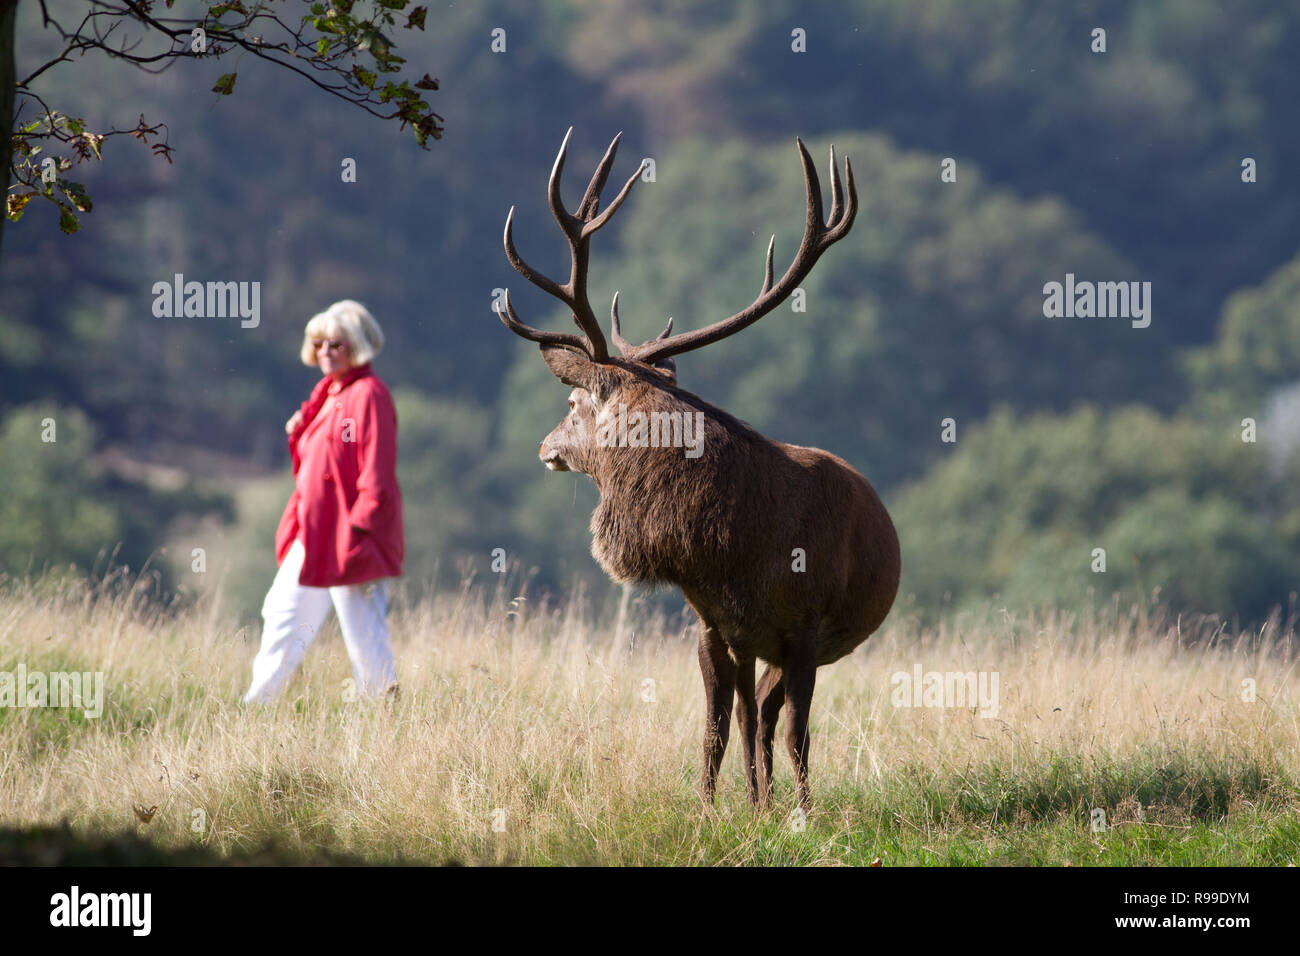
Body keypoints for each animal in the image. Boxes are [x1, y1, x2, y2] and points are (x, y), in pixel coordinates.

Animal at [494, 128, 900, 813]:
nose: (545, 446)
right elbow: (713, 727)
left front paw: (804, 814)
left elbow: (798, 732)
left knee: (769, 716)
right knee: (750, 713)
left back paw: (773, 803)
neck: (735, 550)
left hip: (802, 645)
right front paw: (709, 810)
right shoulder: (710, 624)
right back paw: (757, 802)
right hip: (751, 645)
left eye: (574, 403)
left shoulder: (806, 629)